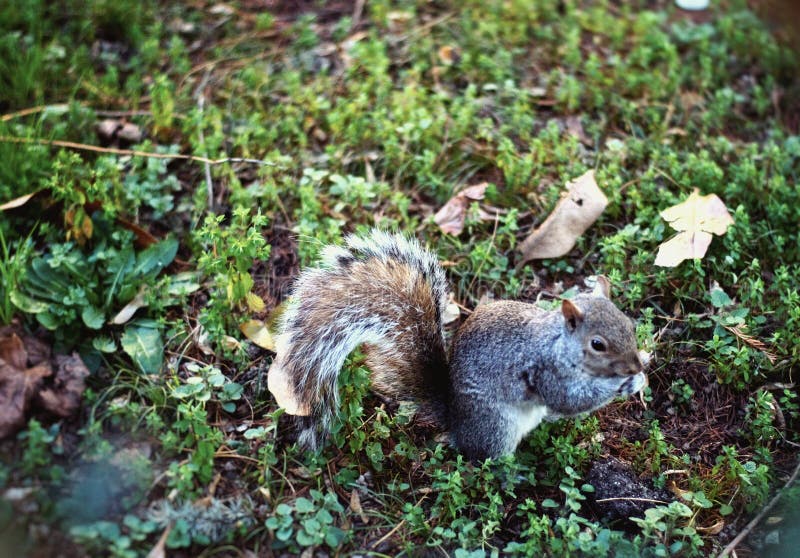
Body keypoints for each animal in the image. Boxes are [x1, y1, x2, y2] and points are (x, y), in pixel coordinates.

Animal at [268, 230, 648, 460]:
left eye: (629, 324)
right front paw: (622, 383)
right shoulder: (544, 371)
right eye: (597, 344)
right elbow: (568, 401)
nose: (635, 366)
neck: (558, 344)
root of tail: (454, 420)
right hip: (495, 426)